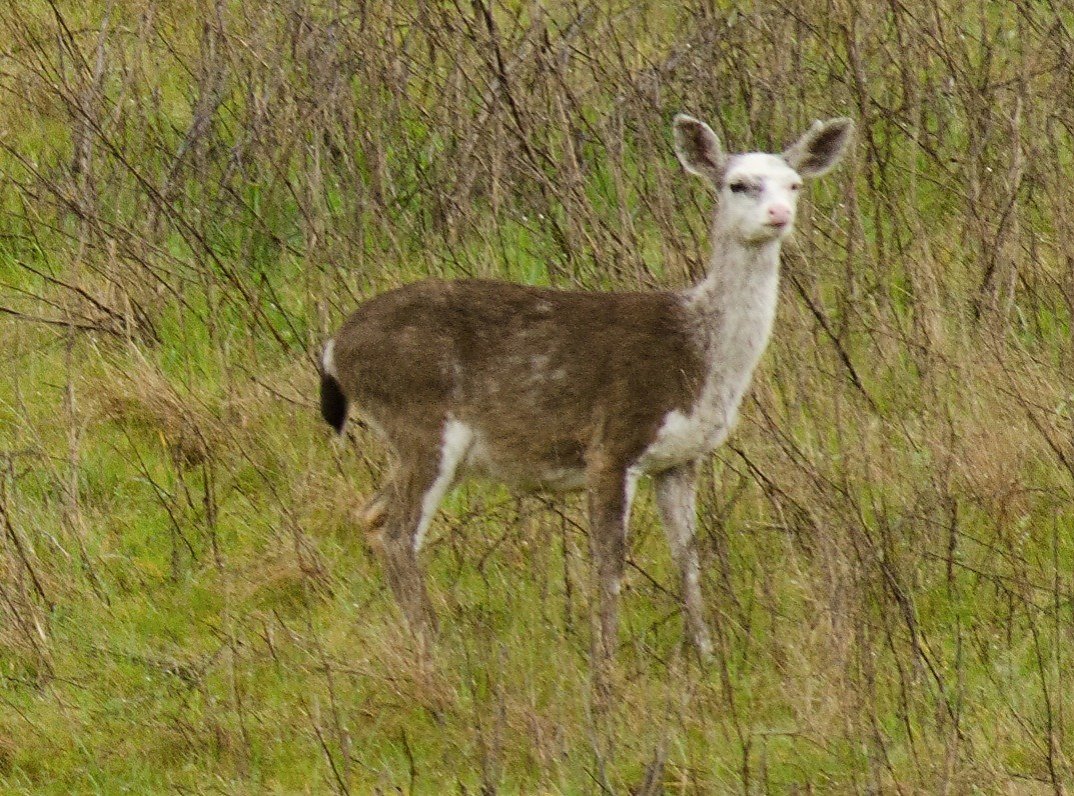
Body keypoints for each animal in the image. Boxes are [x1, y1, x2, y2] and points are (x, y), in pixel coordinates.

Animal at [318, 113, 853, 659]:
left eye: (795, 184)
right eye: (738, 184)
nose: (778, 214)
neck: (698, 353)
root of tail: (336, 347)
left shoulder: (680, 458)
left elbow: (687, 555)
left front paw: (705, 654)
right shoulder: (614, 440)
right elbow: (608, 563)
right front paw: (607, 659)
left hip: (418, 443)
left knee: (371, 515)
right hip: (422, 421)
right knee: (400, 535)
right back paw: (436, 653)